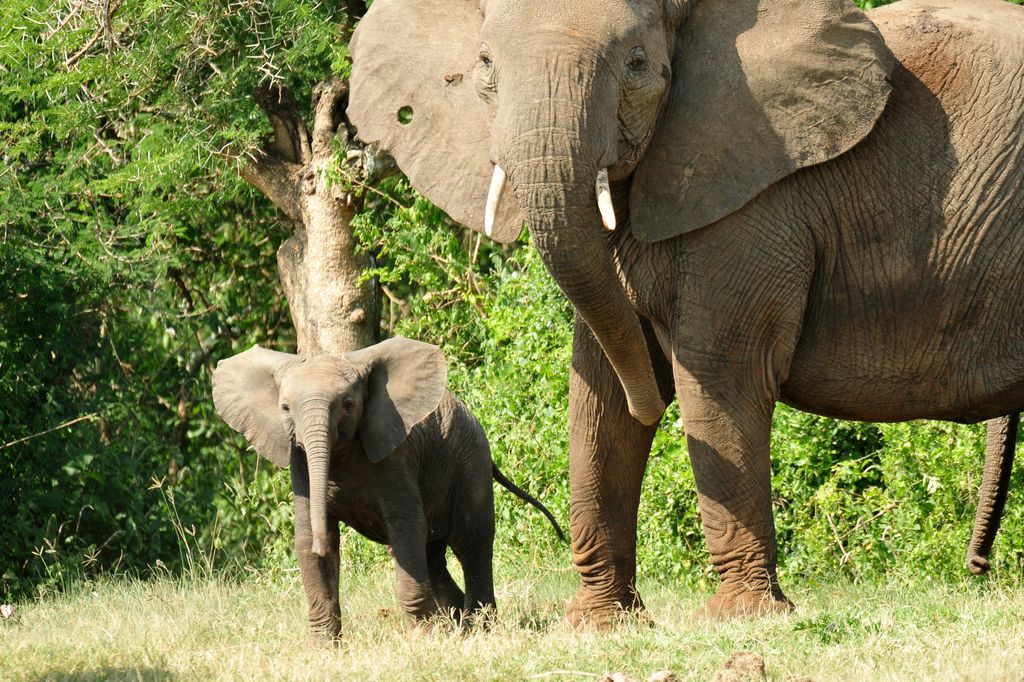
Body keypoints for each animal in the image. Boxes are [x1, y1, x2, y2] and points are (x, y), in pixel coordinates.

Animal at [211, 337, 565, 640]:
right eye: (285, 408)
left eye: (348, 404)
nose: (323, 548)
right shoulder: (298, 459)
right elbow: (306, 533)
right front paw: (323, 649)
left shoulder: (395, 452)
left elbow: (405, 526)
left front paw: (426, 639)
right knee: (433, 554)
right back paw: (456, 628)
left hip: (471, 463)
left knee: (471, 544)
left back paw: (476, 630)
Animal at [347, 0, 1024, 623]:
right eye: (484, 65)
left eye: (637, 64)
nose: (653, 401)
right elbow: (599, 389)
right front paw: (600, 624)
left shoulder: (756, 198)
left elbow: (722, 375)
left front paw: (743, 618)